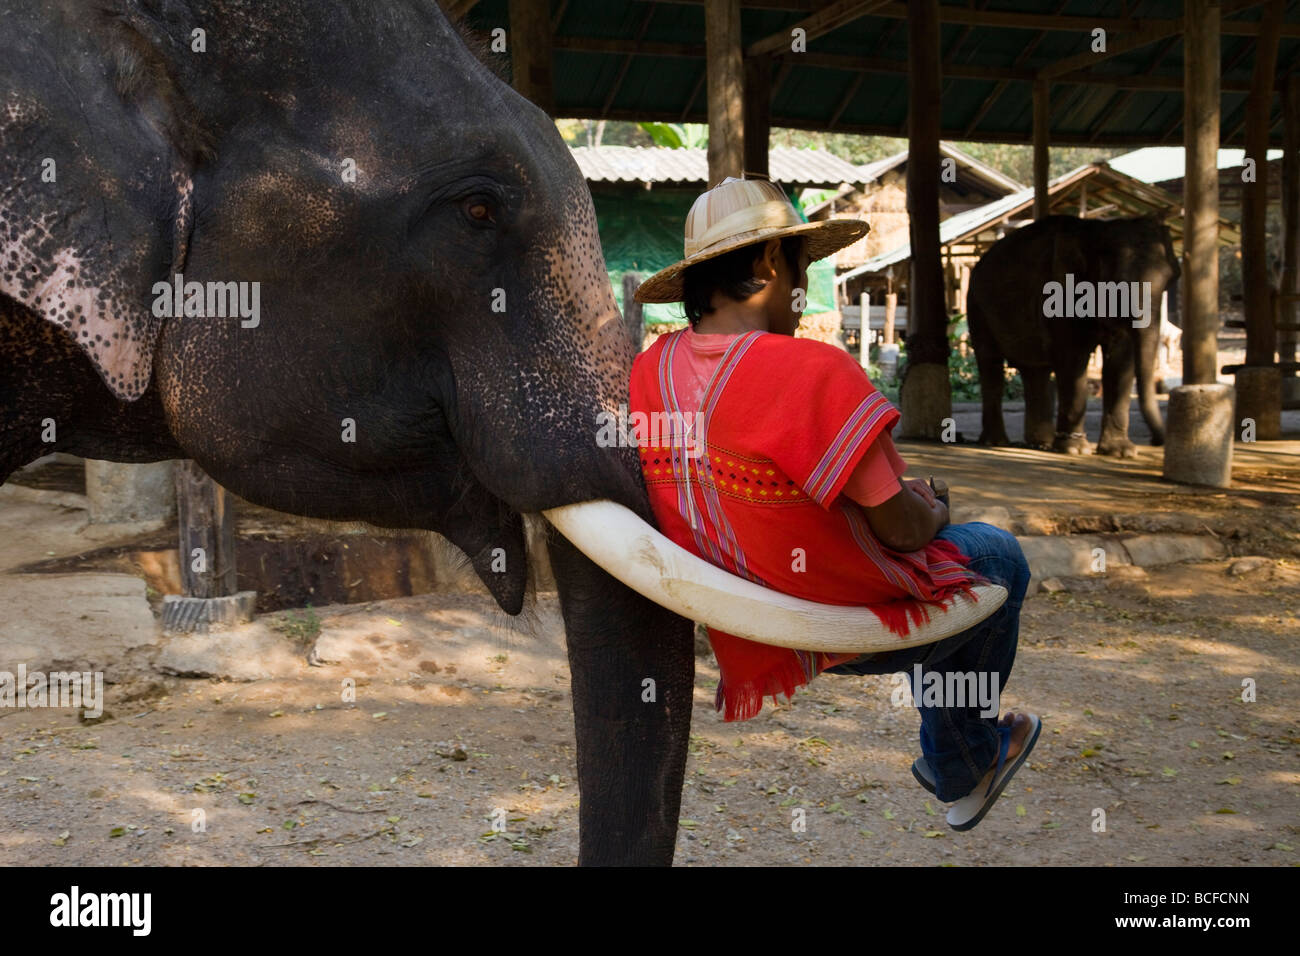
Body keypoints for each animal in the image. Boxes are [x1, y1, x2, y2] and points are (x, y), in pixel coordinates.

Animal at [967, 215, 1180, 457]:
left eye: (1172, 279)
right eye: (1117, 283)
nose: (1156, 440)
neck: (1098, 229)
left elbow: (1120, 362)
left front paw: (1120, 452)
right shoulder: (1059, 291)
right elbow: (1072, 357)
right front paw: (1075, 450)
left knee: (1034, 370)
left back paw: (1041, 443)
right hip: (976, 307)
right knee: (991, 364)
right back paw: (997, 442)